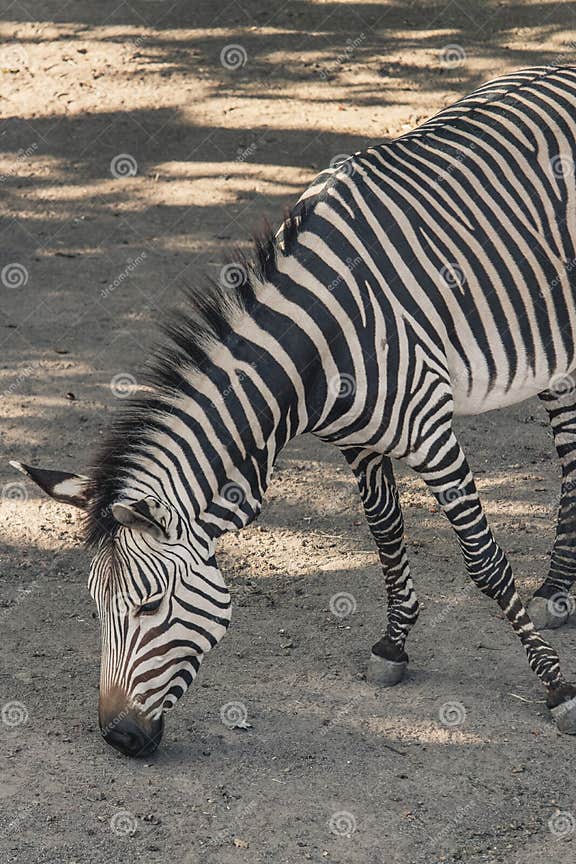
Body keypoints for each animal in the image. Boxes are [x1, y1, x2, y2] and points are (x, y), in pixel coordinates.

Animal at [13, 64, 576, 756]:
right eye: (96, 610)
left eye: (148, 607)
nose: (118, 738)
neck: (319, 338)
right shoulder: (358, 441)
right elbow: (387, 536)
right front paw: (394, 644)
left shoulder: (431, 431)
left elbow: (484, 562)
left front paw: (556, 686)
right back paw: (557, 589)